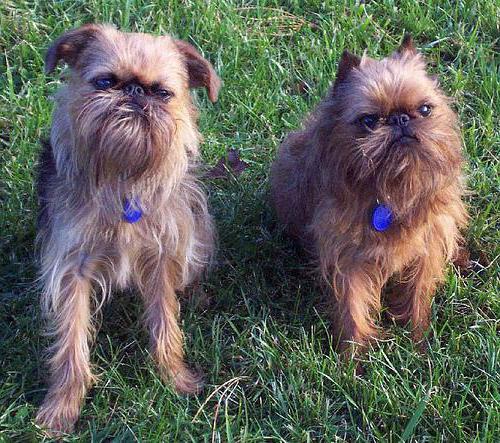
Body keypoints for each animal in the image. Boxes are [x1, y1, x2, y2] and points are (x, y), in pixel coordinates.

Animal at [36, 23, 220, 434]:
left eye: (162, 92)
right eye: (105, 81)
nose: (135, 91)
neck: (122, 178)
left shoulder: (161, 256)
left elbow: (165, 320)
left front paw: (174, 377)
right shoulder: (72, 267)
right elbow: (71, 339)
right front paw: (63, 406)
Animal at [272, 35, 466, 358]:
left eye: (425, 110)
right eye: (370, 120)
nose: (400, 119)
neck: (393, 189)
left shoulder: (428, 246)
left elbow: (417, 294)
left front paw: (418, 343)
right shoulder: (347, 257)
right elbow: (353, 308)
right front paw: (353, 358)